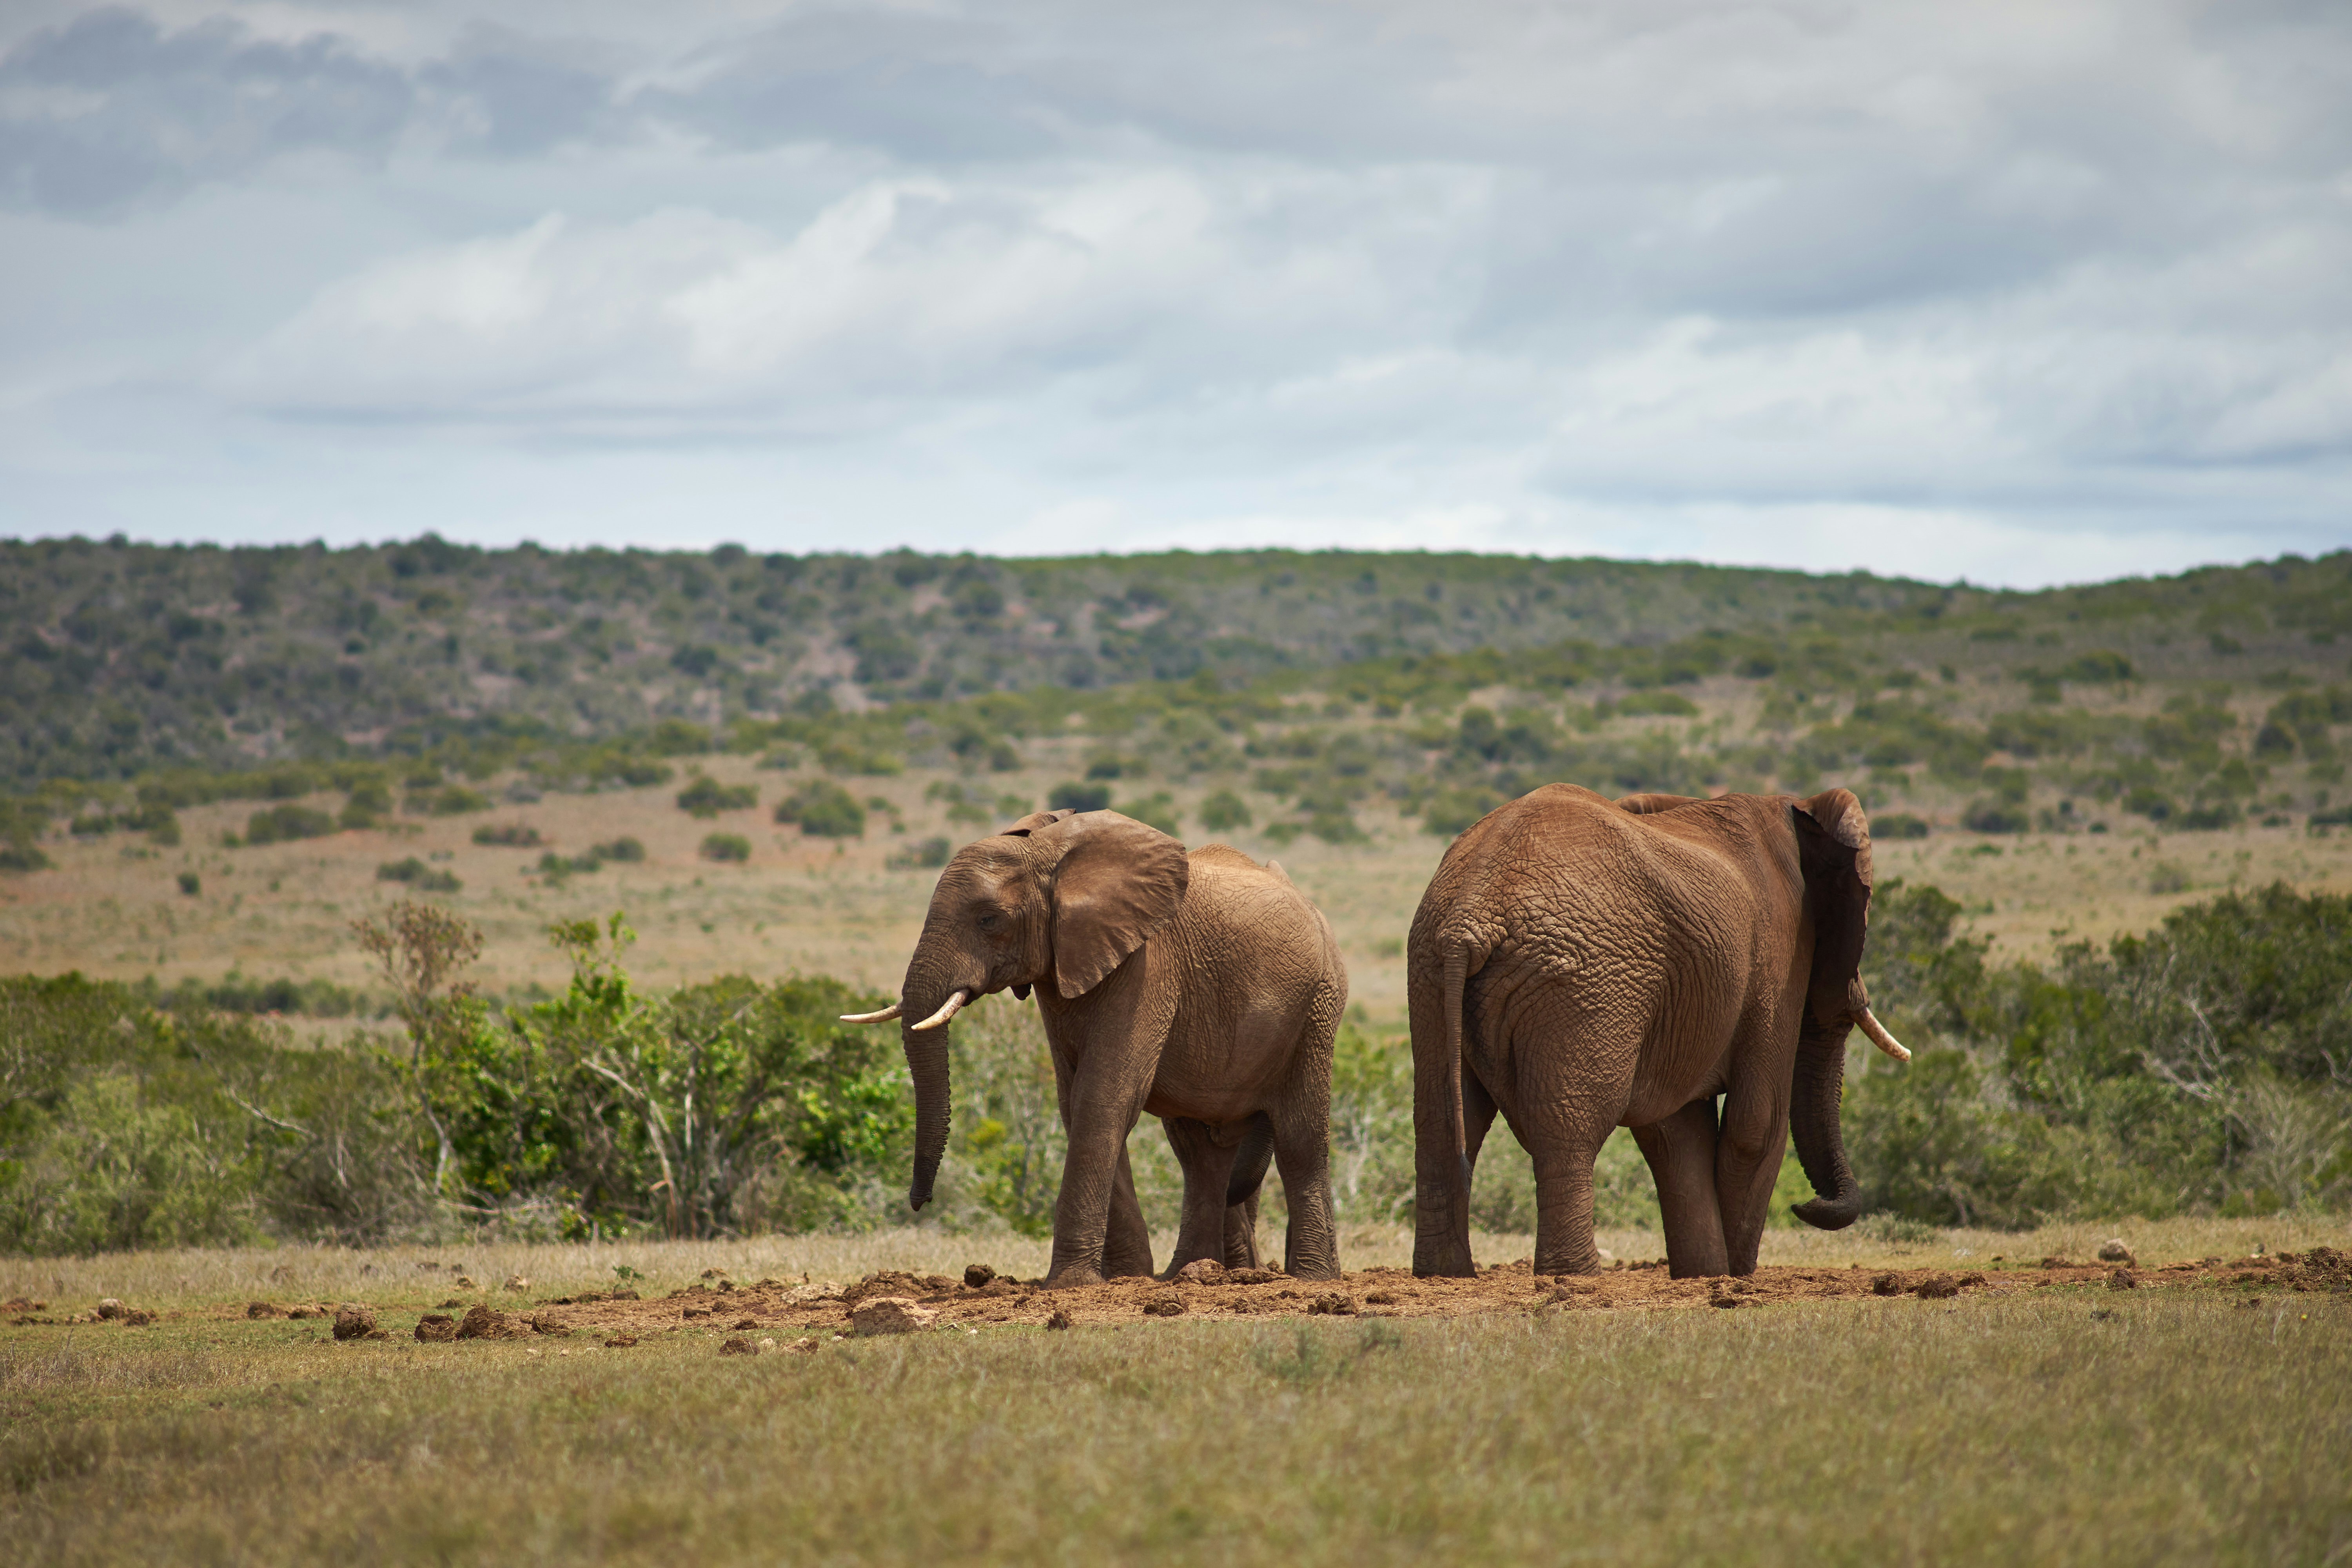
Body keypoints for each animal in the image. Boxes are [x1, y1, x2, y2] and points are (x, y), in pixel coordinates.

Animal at [843, 808, 1348, 1287]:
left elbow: (1104, 1097)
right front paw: (1126, 1277)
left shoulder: (1147, 963)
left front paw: (1070, 1284)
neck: (1049, 855)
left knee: (1301, 1138)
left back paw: (1311, 1277)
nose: (920, 1202)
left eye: (989, 920)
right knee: (1200, 1152)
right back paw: (1191, 1272)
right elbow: (1077, 1103)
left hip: (1318, 1008)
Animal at [1406, 784, 1910, 1281]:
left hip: (1431, 969)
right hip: (1583, 980)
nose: (1806, 1204)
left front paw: (1704, 1276)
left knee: (1441, 1122)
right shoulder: (1780, 949)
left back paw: (1445, 1275)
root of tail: (1471, 915)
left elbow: (1676, 1133)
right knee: (1569, 1131)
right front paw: (1732, 1277)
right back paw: (1574, 1278)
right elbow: (1757, 1123)